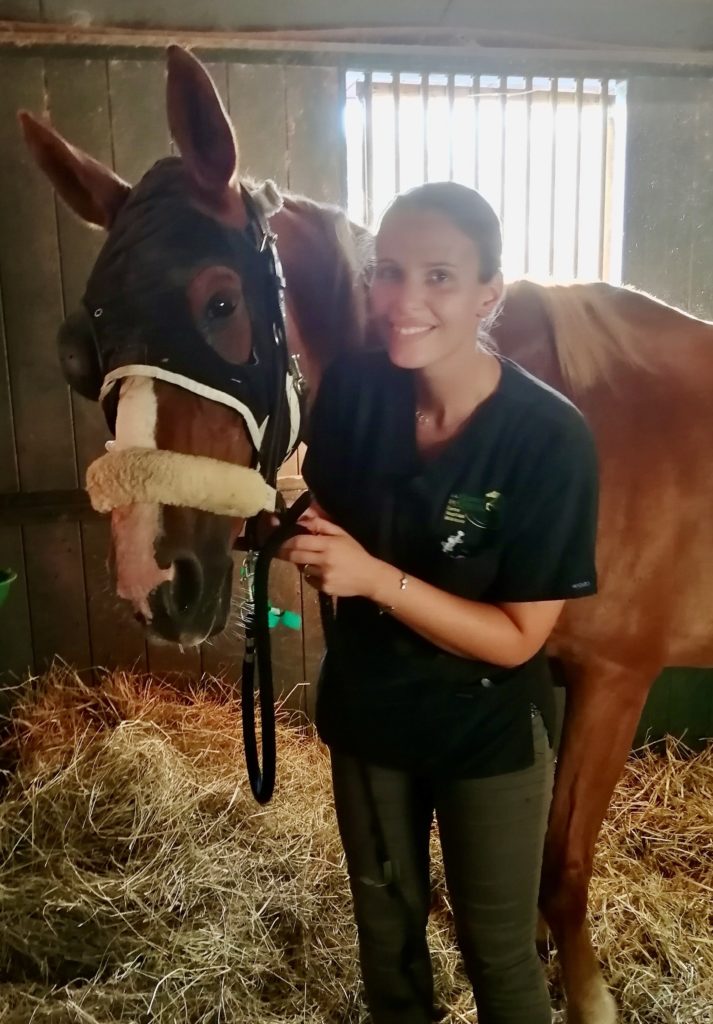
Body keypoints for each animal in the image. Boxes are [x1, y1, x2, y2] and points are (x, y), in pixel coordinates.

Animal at [19, 45, 713, 1024]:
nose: (154, 581)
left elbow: (563, 867)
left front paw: (586, 996)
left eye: (221, 304)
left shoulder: (616, 681)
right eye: (90, 333)